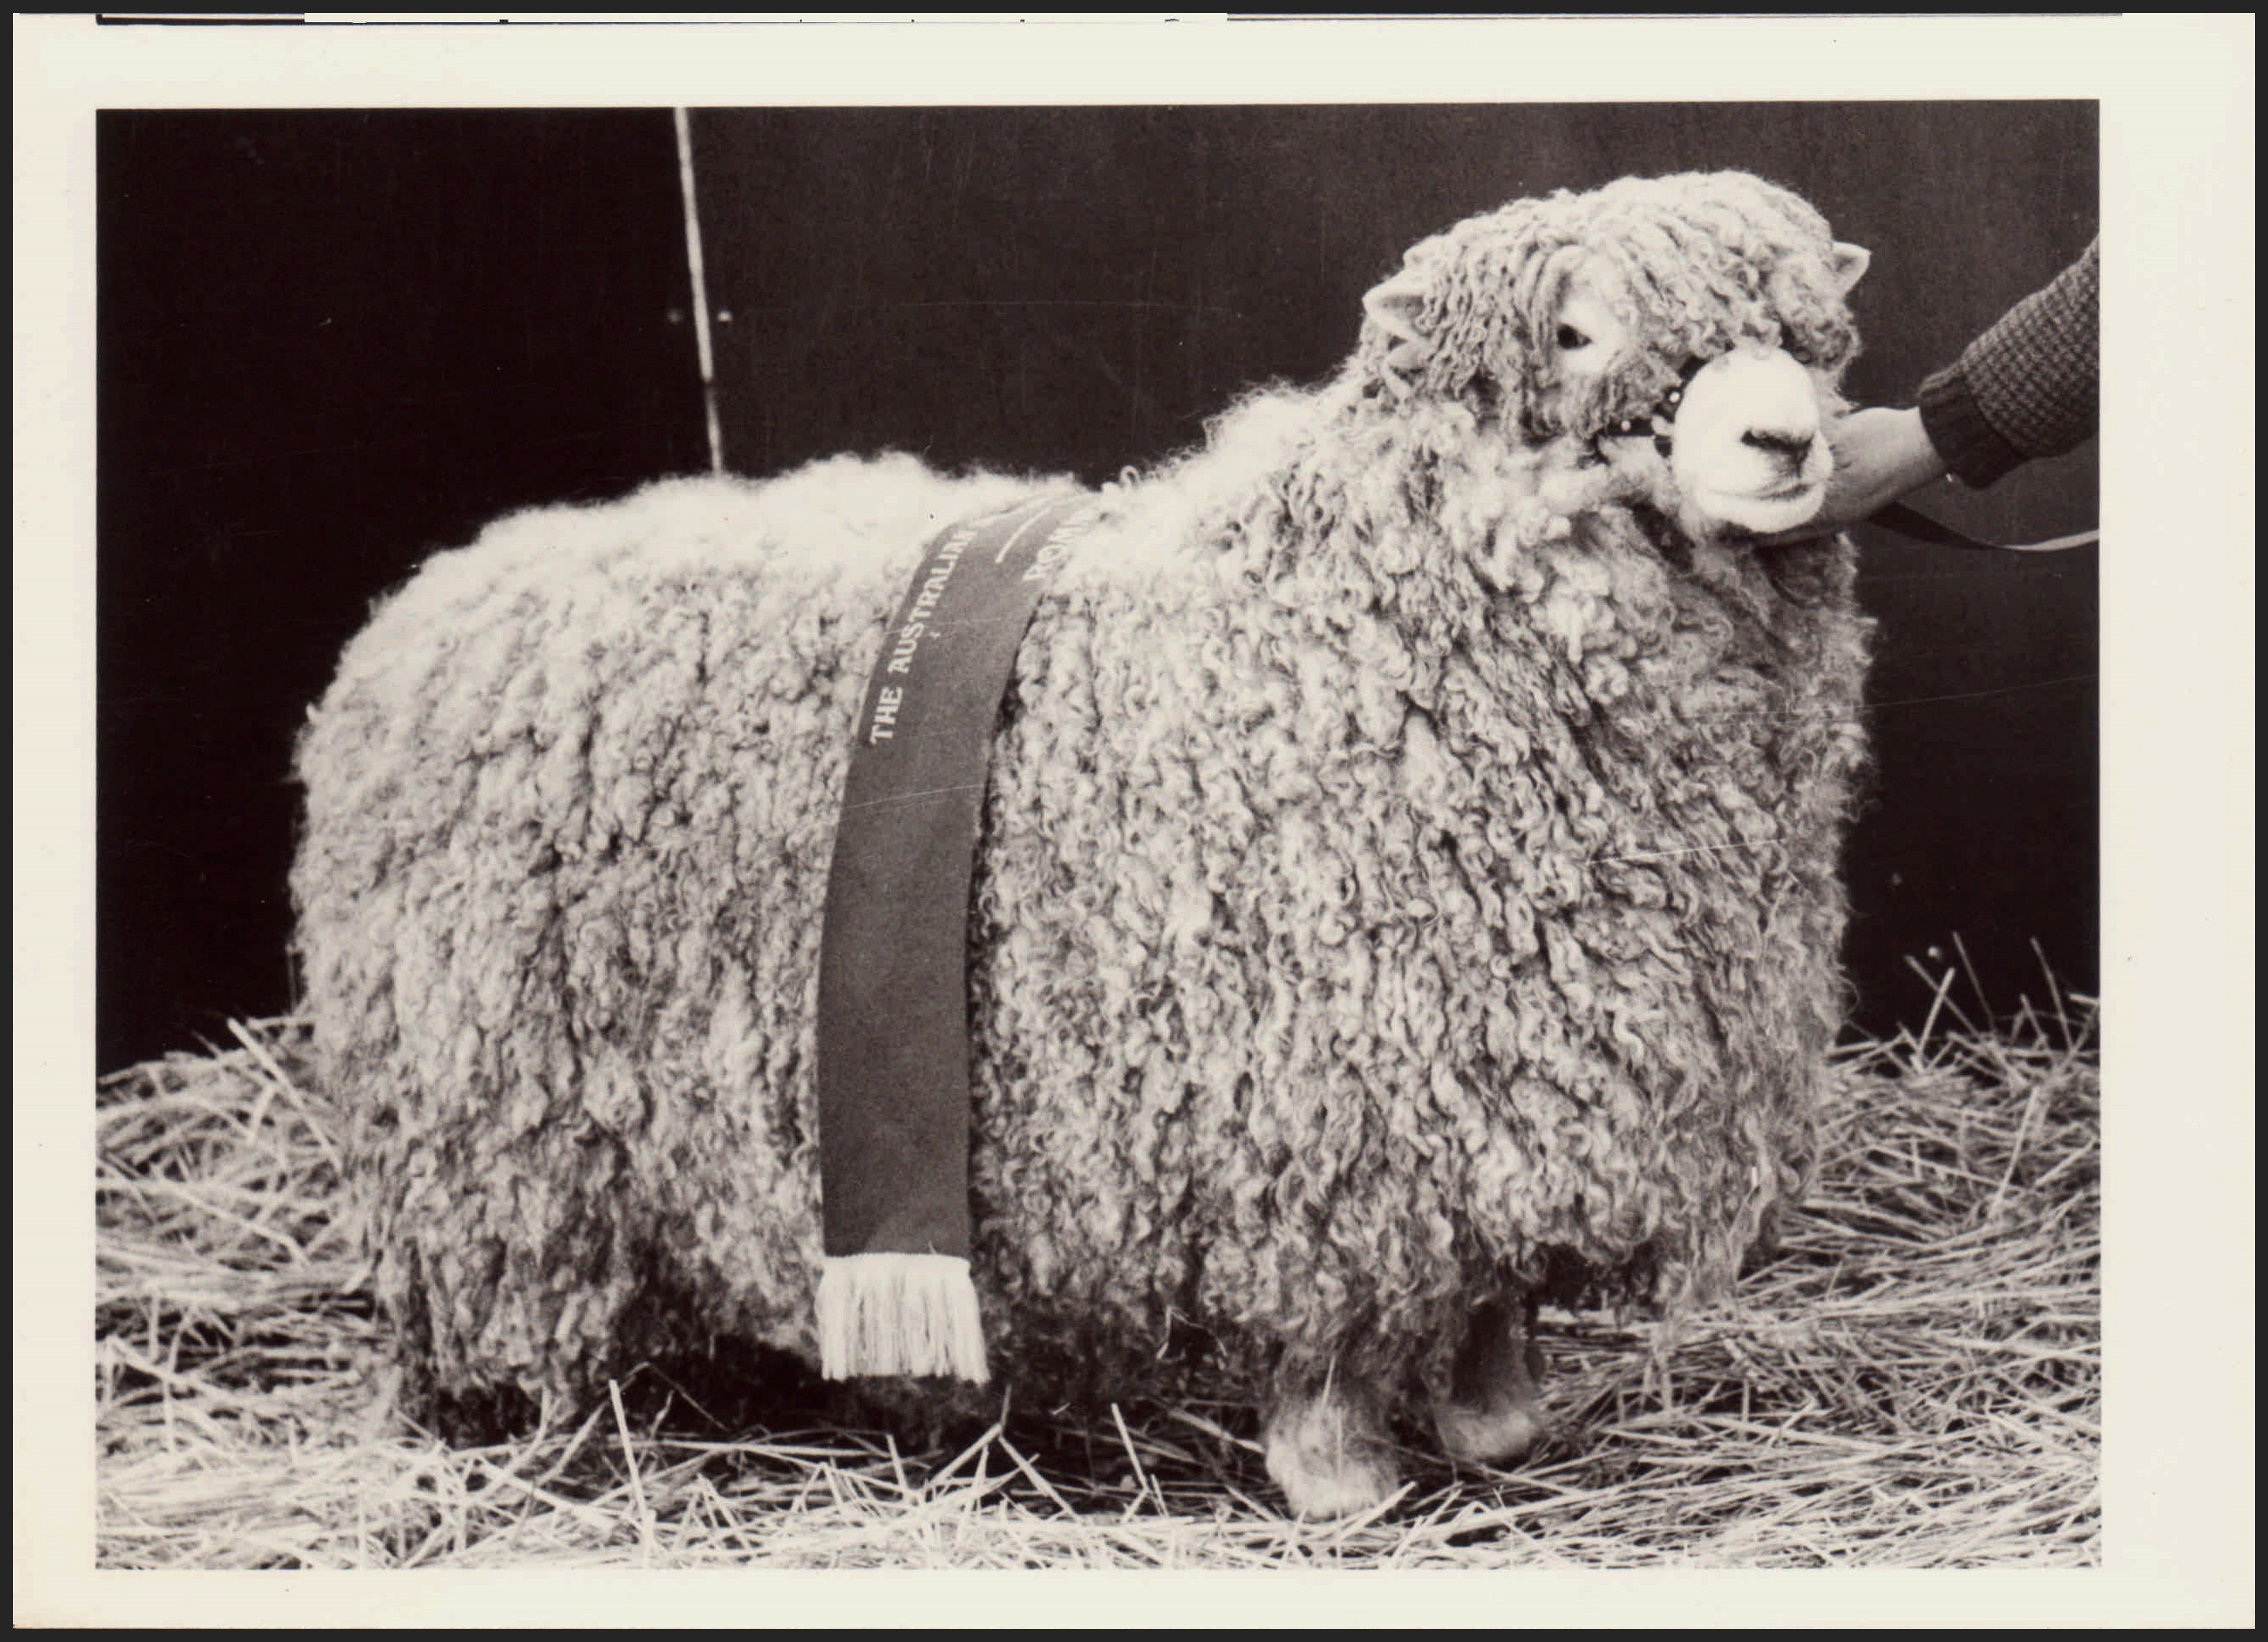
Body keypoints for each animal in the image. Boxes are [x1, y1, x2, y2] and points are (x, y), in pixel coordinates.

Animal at [290, 169, 1878, 1519]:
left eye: (1806, 333)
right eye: (1573, 330)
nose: (1784, 441)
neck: (1354, 633)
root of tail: (436, 595)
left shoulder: (1496, 1099)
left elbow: (1488, 1298)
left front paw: (1498, 1425)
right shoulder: (1317, 1115)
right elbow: (1331, 1341)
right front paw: (1342, 1483)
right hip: (493, 1121)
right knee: (505, 1289)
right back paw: (531, 1426)